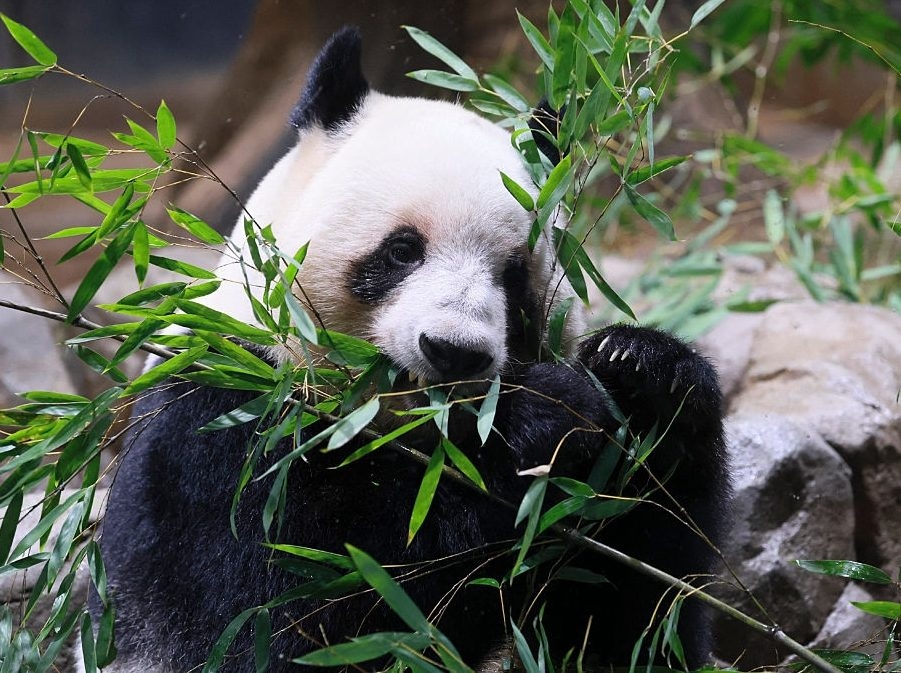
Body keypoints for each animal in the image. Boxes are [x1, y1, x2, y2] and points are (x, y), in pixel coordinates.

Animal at [89, 27, 730, 673]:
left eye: (514, 277)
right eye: (402, 251)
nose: (453, 351)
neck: (402, 427)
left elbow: (632, 613)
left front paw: (645, 373)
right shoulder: (218, 421)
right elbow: (293, 601)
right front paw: (540, 417)